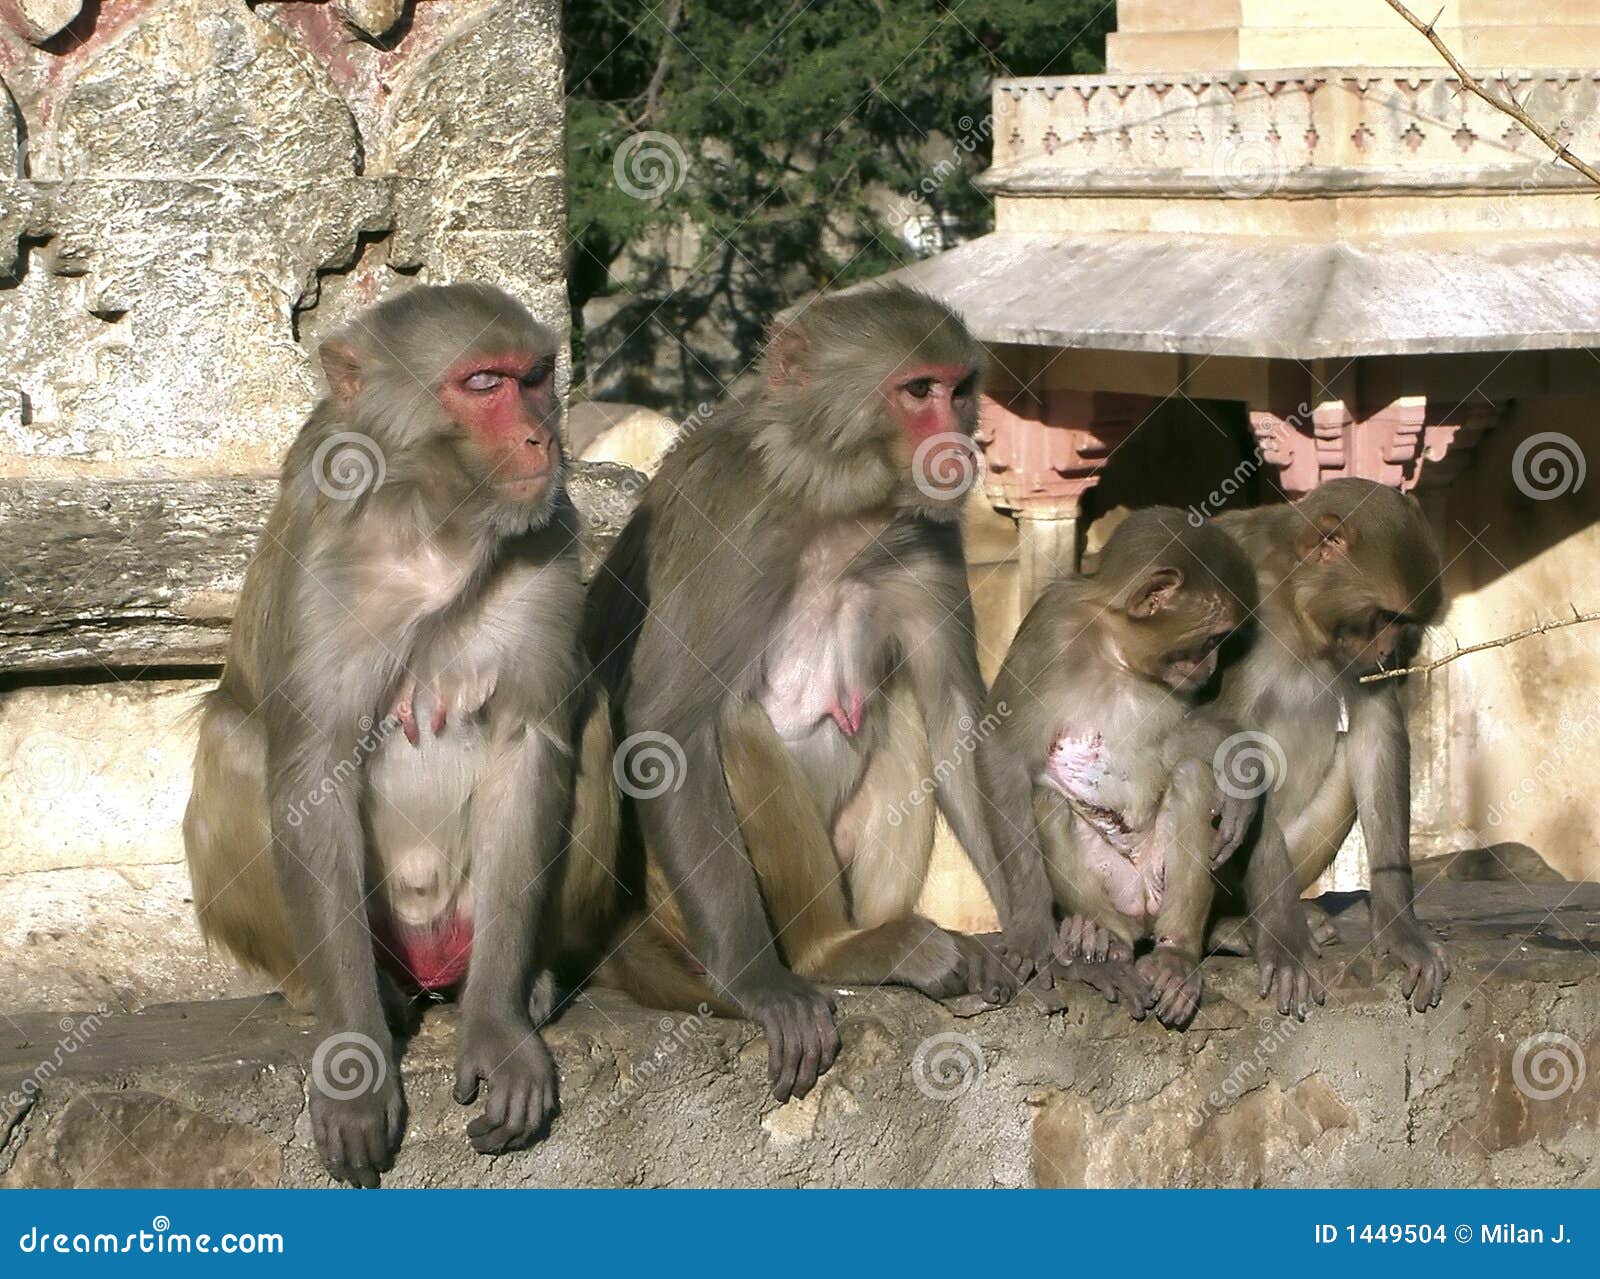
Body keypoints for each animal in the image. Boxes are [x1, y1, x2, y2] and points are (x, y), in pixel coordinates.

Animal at [183, 283, 598, 1186]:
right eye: (483, 384)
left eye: (537, 376)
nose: (544, 436)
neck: (440, 523)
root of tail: (433, 961)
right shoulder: (322, 540)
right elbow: (310, 769)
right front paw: (353, 1057)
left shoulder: (551, 531)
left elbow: (529, 741)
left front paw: (500, 1028)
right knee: (235, 740)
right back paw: (342, 989)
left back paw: (527, 982)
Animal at [578, 284, 1020, 1104]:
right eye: (918, 391)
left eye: (959, 388)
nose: (959, 442)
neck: (838, 506)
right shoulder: (733, 521)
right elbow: (671, 724)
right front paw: (759, 985)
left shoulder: (927, 534)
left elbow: (955, 716)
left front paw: (1051, 932)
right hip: (675, 903)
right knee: (730, 723)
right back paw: (827, 954)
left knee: (901, 705)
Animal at [976, 508, 1324, 1027]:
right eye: (1210, 640)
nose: (1211, 667)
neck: (1116, 649)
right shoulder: (1050, 627)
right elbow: (1001, 751)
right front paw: (1032, 930)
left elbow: (1192, 737)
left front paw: (1242, 770)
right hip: (1116, 893)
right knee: (1047, 800)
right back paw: (1099, 945)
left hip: (1159, 888)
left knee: (1193, 777)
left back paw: (1177, 955)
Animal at [1209, 477, 1450, 1012]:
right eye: (1382, 615)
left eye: (1402, 621)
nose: (1389, 654)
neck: (1293, 605)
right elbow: (1238, 760)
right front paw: (1284, 942)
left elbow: (1375, 731)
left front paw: (1400, 929)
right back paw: (1232, 929)